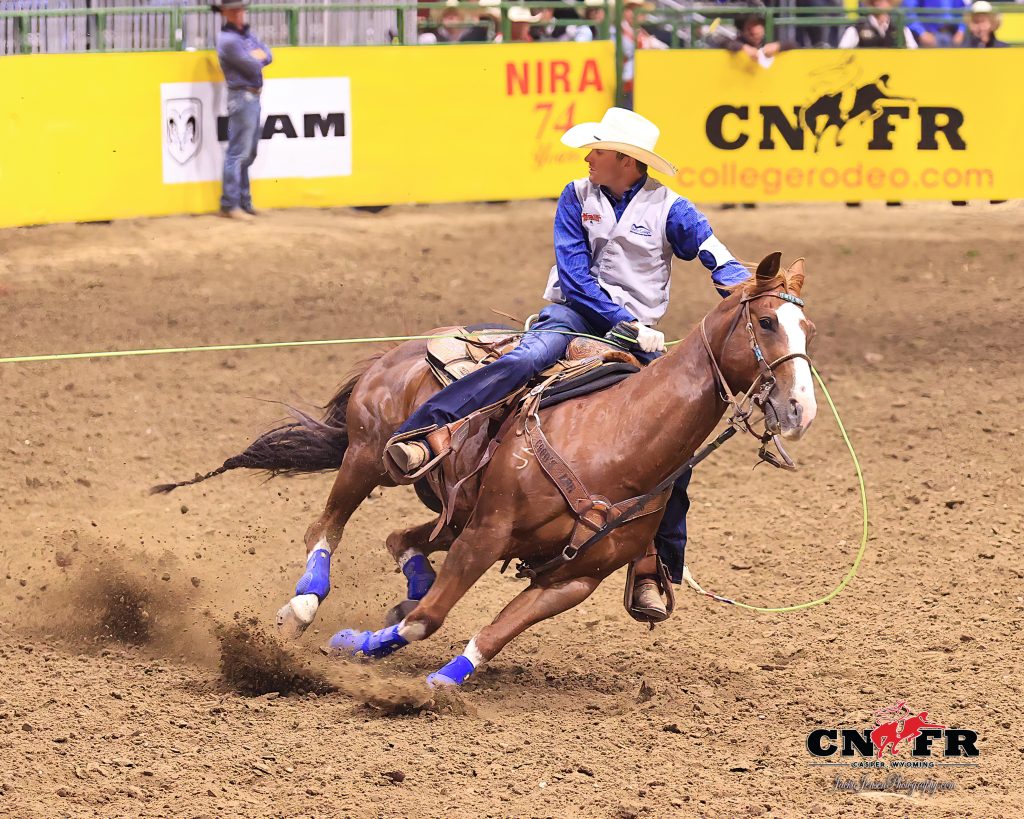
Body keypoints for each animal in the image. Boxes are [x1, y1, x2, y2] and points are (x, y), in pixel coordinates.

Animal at [154, 251, 817, 687]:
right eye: (764, 322)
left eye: (806, 327)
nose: (800, 409)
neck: (615, 438)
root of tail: (404, 349)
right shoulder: (488, 534)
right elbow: (428, 619)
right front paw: (352, 642)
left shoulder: (574, 577)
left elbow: (488, 634)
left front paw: (441, 681)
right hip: (370, 459)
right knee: (327, 529)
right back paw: (304, 607)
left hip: (449, 511)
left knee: (401, 540)